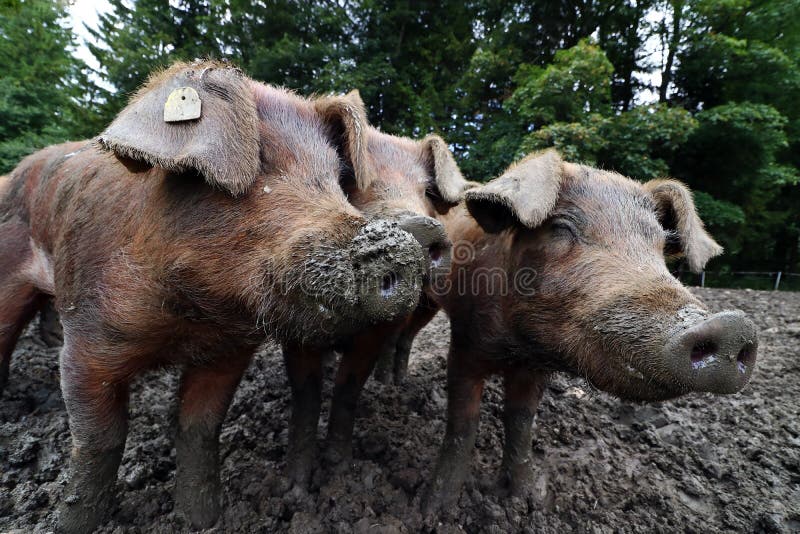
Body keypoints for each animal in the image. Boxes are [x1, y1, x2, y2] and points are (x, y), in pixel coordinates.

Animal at [0, 61, 427, 532]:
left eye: (337, 179)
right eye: (259, 163)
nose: (397, 247)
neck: (189, 318)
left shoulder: (227, 353)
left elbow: (200, 428)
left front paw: (203, 518)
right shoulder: (88, 342)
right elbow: (98, 439)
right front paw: (70, 525)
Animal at [281, 125, 473, 485]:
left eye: (428, 190)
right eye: (348, 180)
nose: (420, 228)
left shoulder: (376, 333)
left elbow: (349, 389)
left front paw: (338, 470)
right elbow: (306, 394)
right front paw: (295, 485)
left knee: (402, 342)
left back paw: (392, 384)